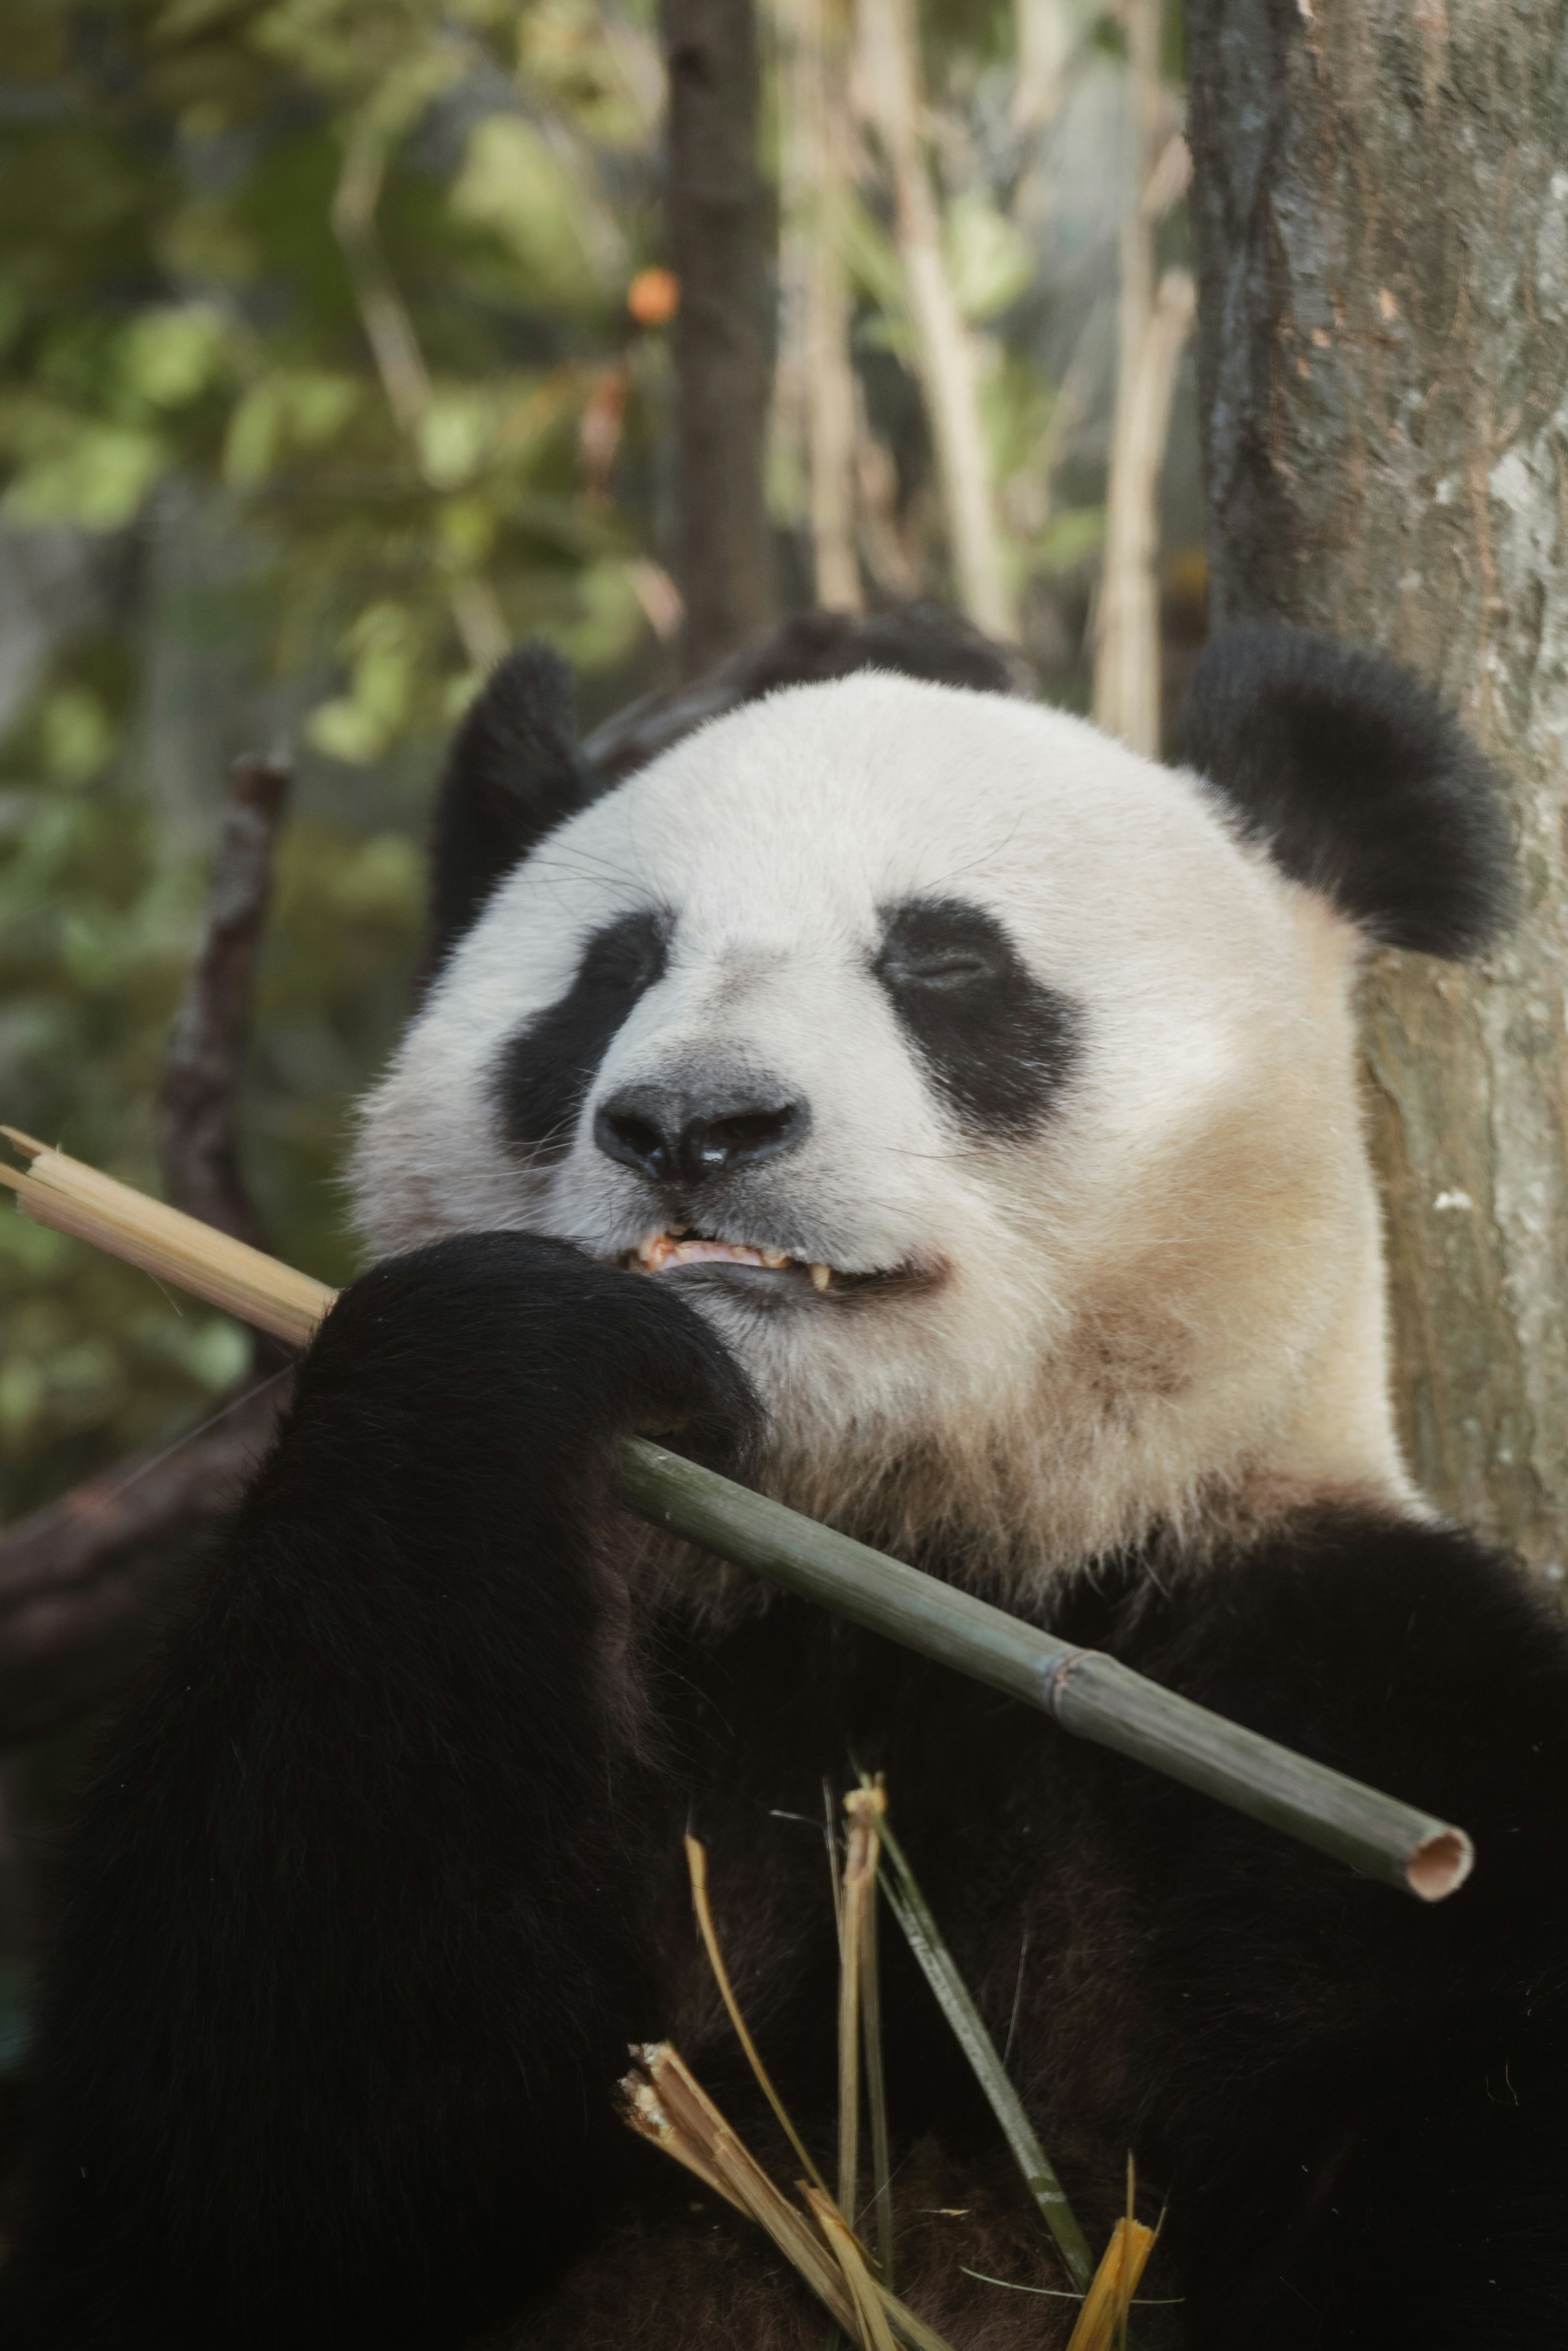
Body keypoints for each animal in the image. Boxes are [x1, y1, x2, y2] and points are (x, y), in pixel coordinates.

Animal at [3, 611, 1568, 2351]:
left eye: (945, 966)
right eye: (613, 970)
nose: (692, 1124)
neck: (882, 1556)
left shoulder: (1333, 1684)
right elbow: (240, 2172)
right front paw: (514, 1341)